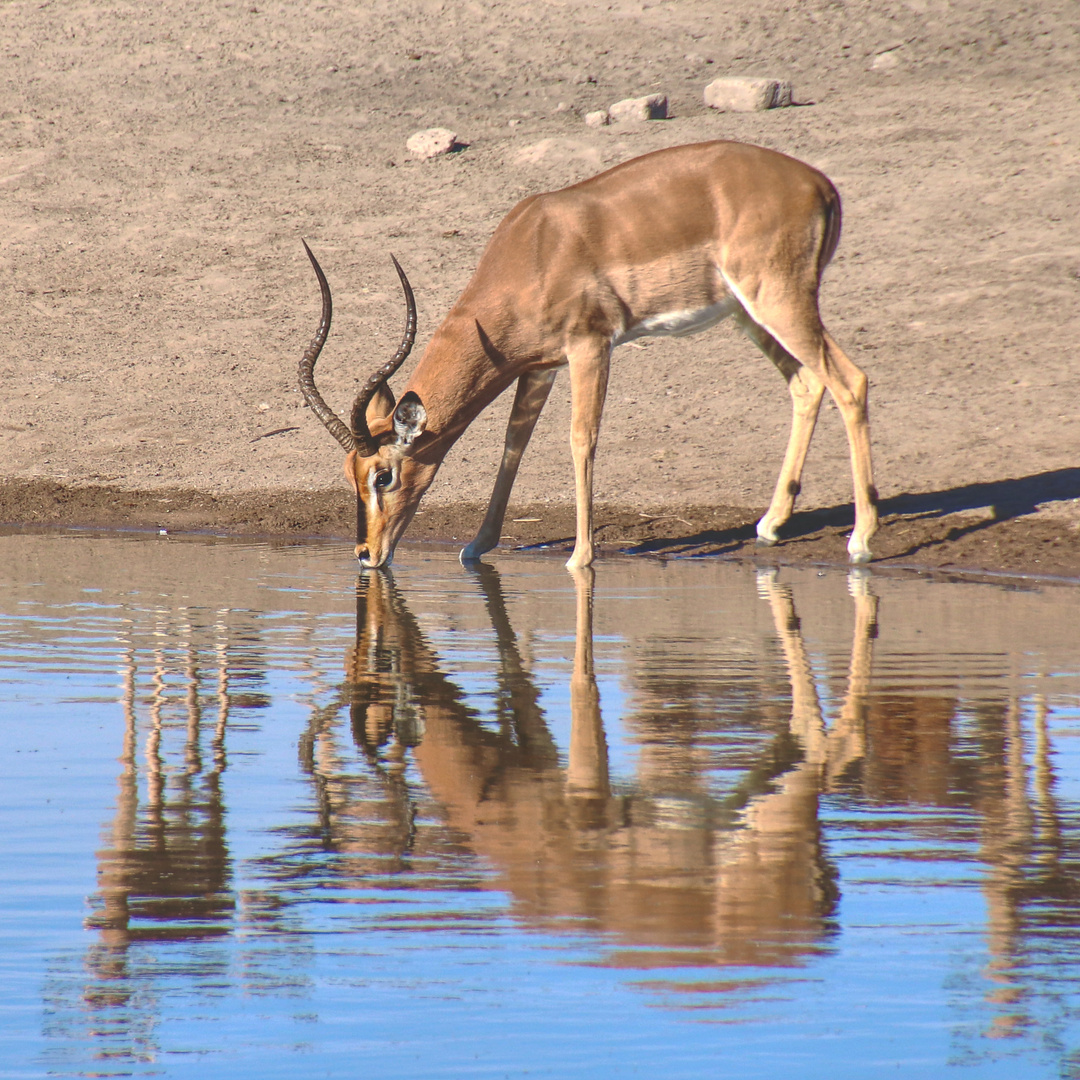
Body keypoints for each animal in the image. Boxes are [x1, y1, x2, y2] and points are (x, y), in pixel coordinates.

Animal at [297, 140, 878, 570]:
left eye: (384, 476)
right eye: (349, 474)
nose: (366, 554)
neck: (532, 250)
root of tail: (818, 183)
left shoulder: (589, 346)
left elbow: (581, 440)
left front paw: (580, 556)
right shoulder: (539, 367)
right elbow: (513, 445)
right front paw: (478, 545)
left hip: (779, 299)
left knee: (850, 381)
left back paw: (861, 540)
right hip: (749, 314)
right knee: (807, 383)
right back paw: (771, 526)